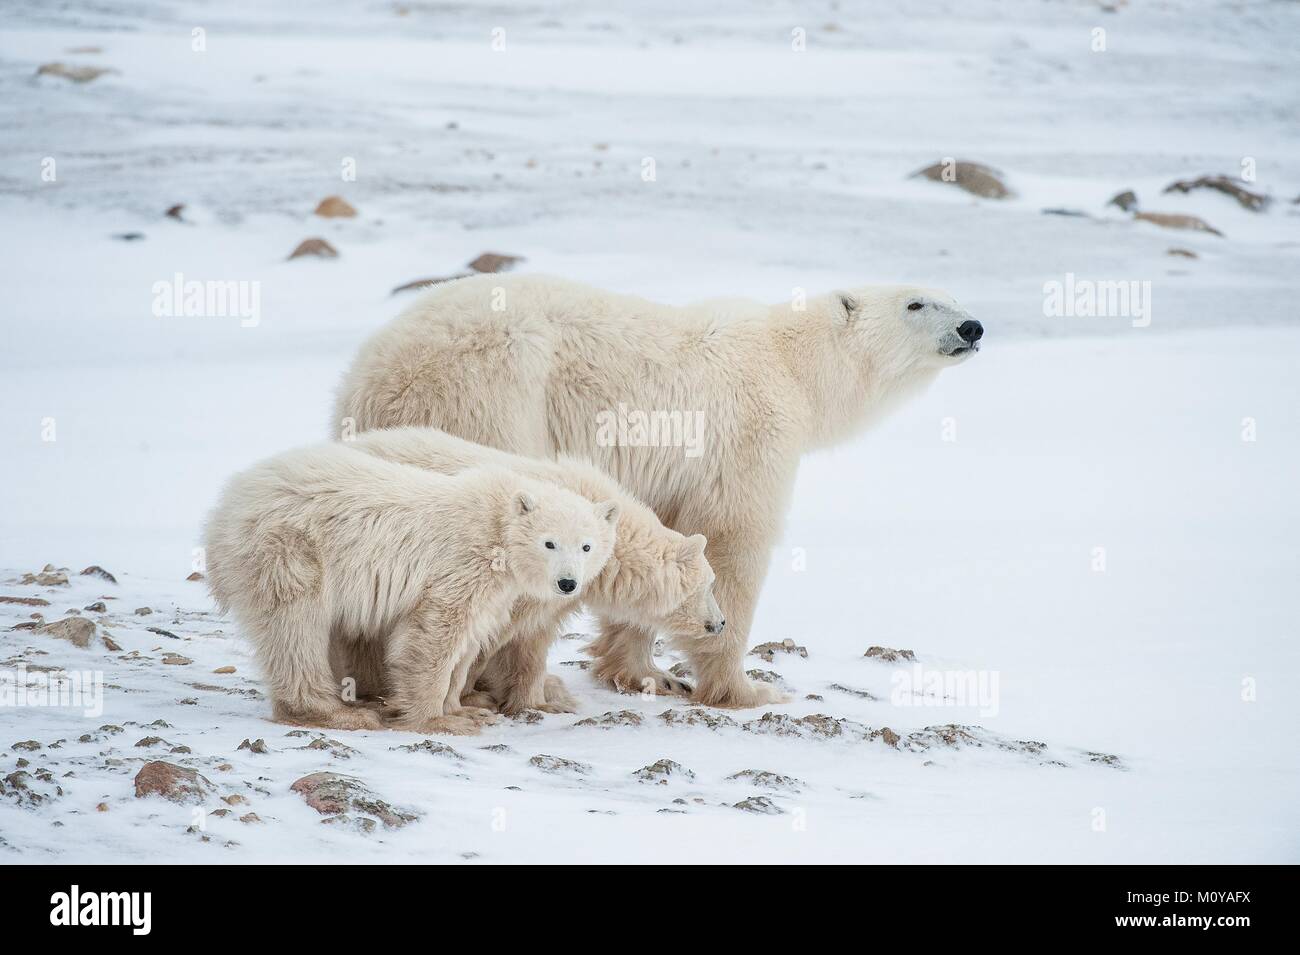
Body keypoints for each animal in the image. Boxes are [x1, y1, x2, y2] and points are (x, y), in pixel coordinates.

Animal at [204, 441, 617, 733]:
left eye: (586, 546)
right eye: (549, 543)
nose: (567, 583)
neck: (496, 524)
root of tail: (225, 507)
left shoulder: (495, 591)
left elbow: (468, 639)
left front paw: (464, 709)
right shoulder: (461, 563)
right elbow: (435, 632)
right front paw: (440, 719)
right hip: (290, 549)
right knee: (296, 628)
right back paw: (340, 713)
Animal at [332, 426, 739, 716]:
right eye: (709, 584)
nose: (720, 623)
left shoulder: (557, 590)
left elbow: (531, 638)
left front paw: (538, 699)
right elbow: (491, 635)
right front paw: (474, 696)